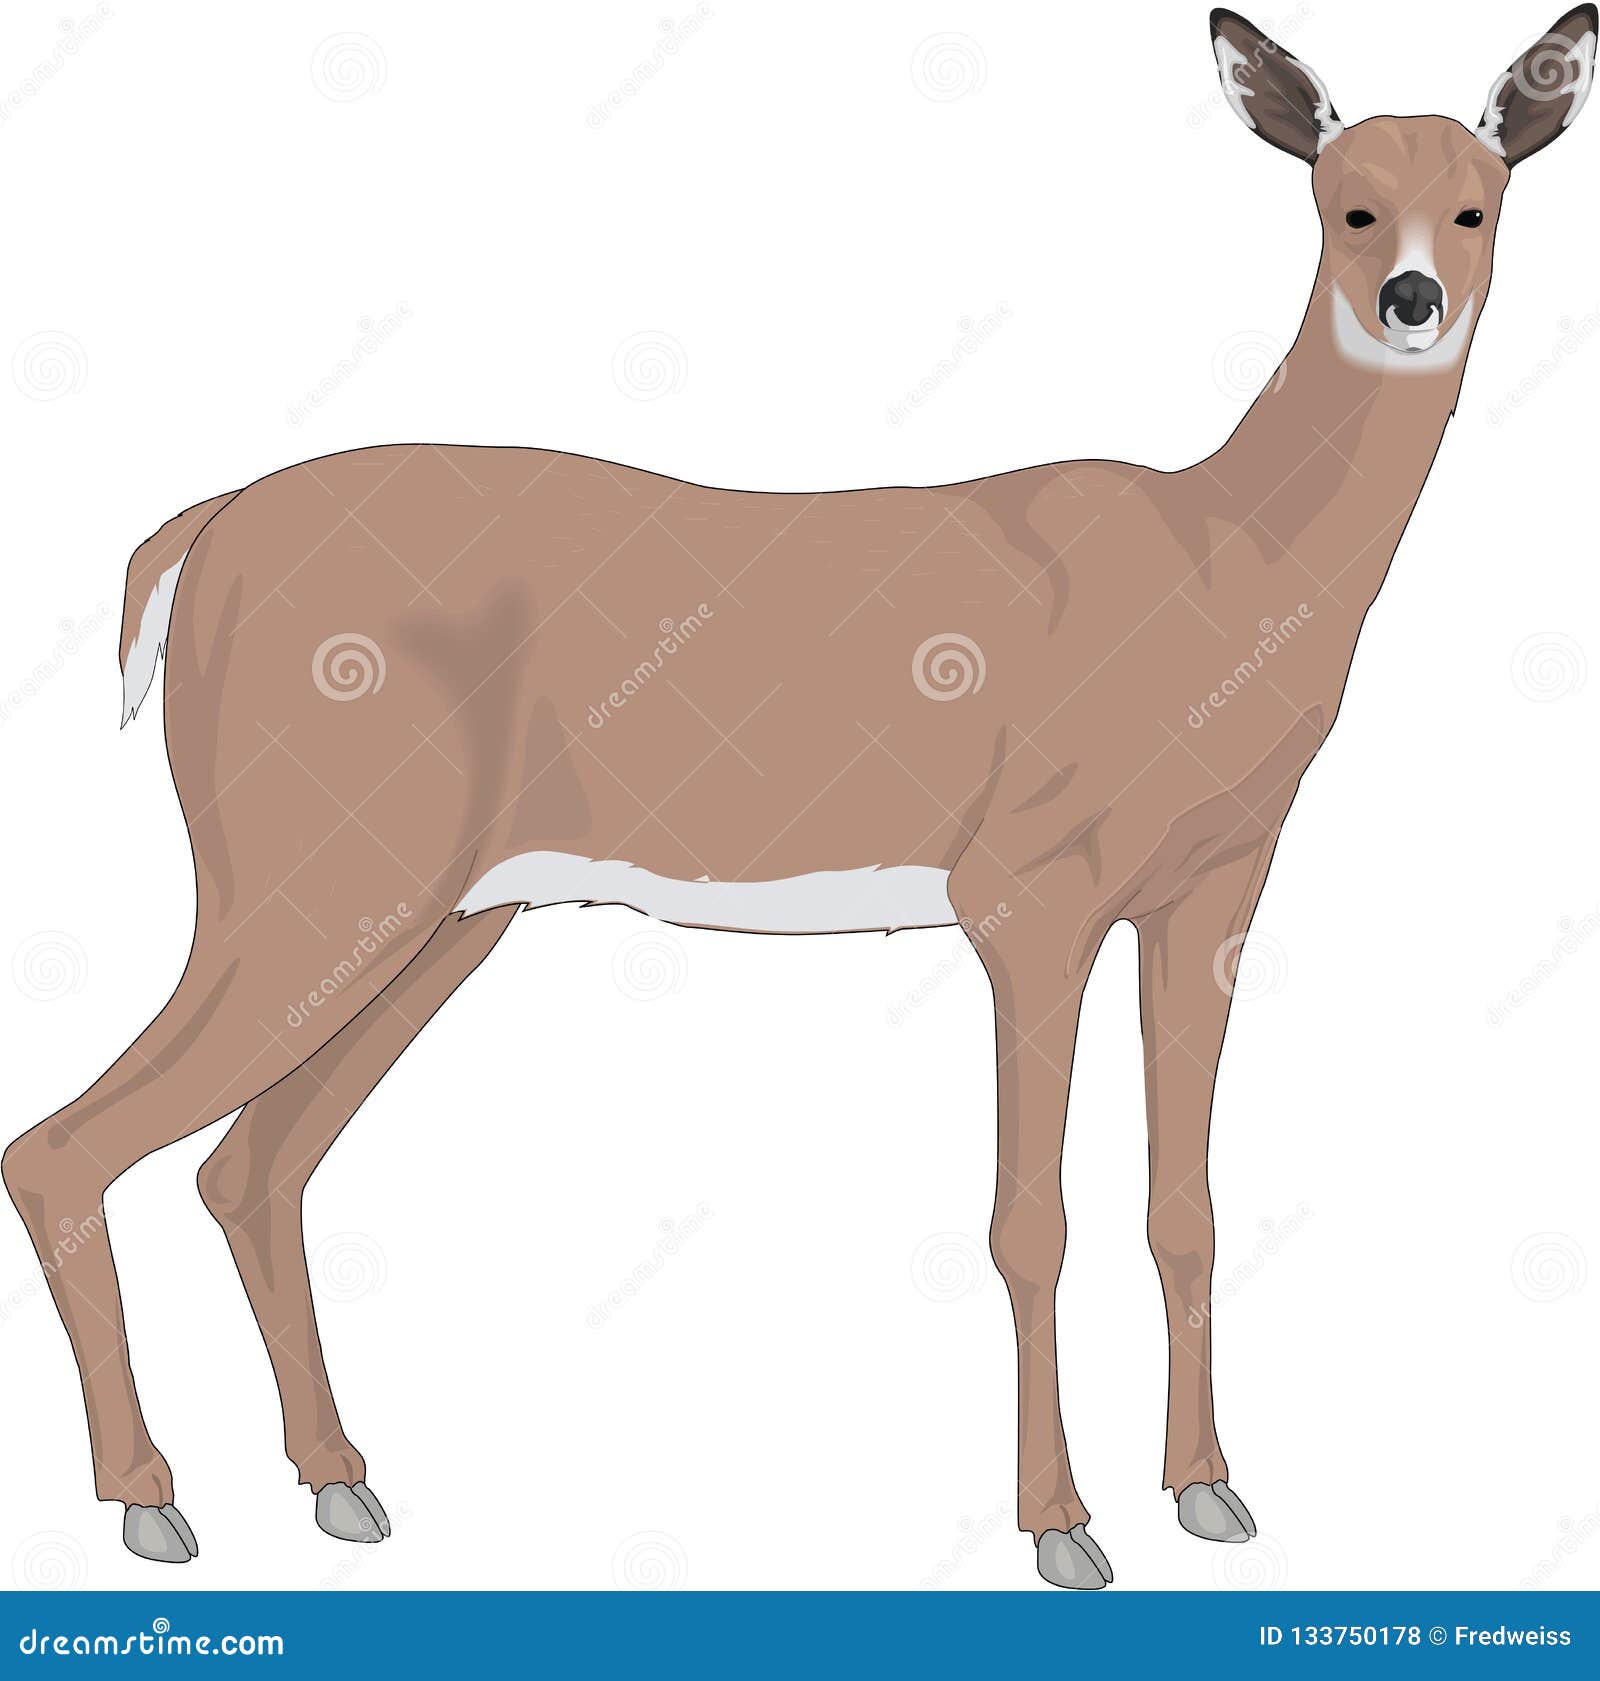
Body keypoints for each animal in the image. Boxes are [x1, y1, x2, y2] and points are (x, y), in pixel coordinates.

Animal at [5, 8, 1593, 1586]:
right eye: (1343, 204)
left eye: (1480, 202)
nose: (1408, 297)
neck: (1227, 562)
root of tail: (191, 541)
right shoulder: (1027, 887)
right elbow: (1029, 1221)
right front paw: (1061, 1527)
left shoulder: (1214, 887)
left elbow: (1186, 1211)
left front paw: (1209, 1491)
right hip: (311, 870)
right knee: (68, 1144)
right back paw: (152, 1502)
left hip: (440, 912)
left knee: (249, 1167)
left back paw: (339, 1484)